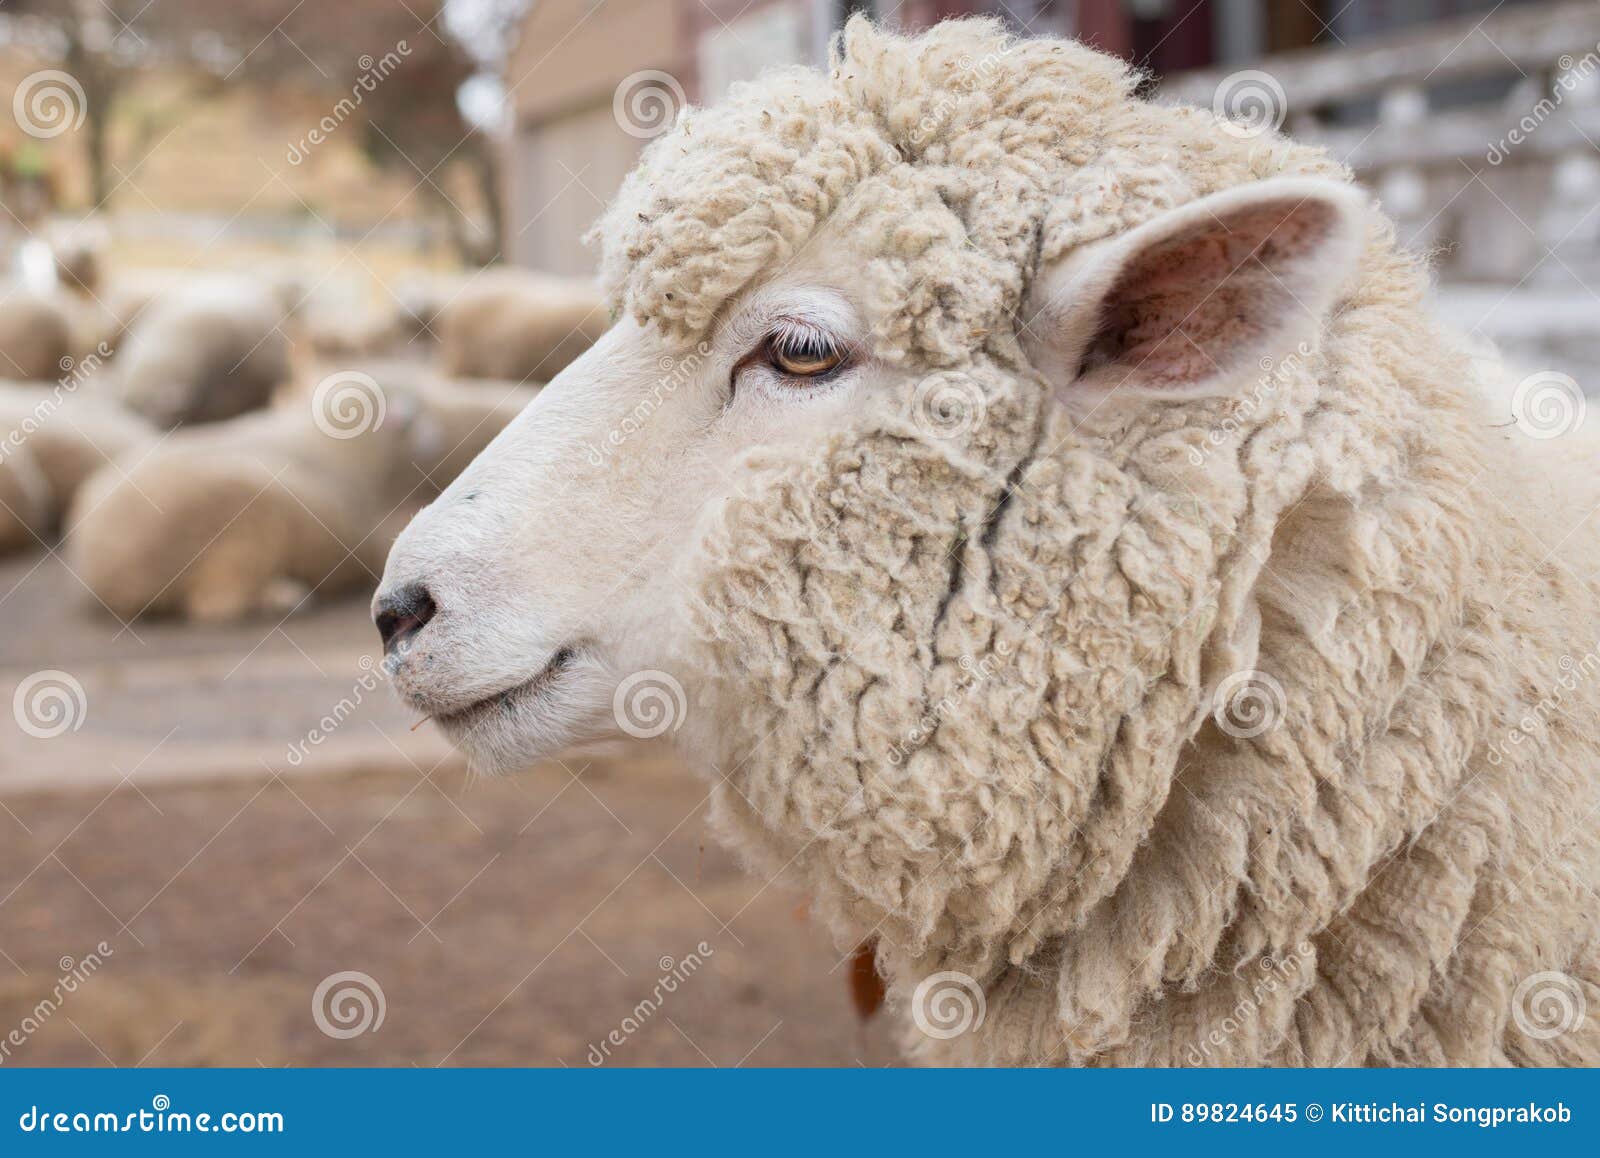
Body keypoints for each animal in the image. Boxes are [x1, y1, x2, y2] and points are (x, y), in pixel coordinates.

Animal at [68, 371, 534, 622]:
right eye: (414, 418)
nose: (435, 436)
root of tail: (104, 572)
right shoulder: (374, 530)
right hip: (244, 527)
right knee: (215, 604)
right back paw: (286, 597)